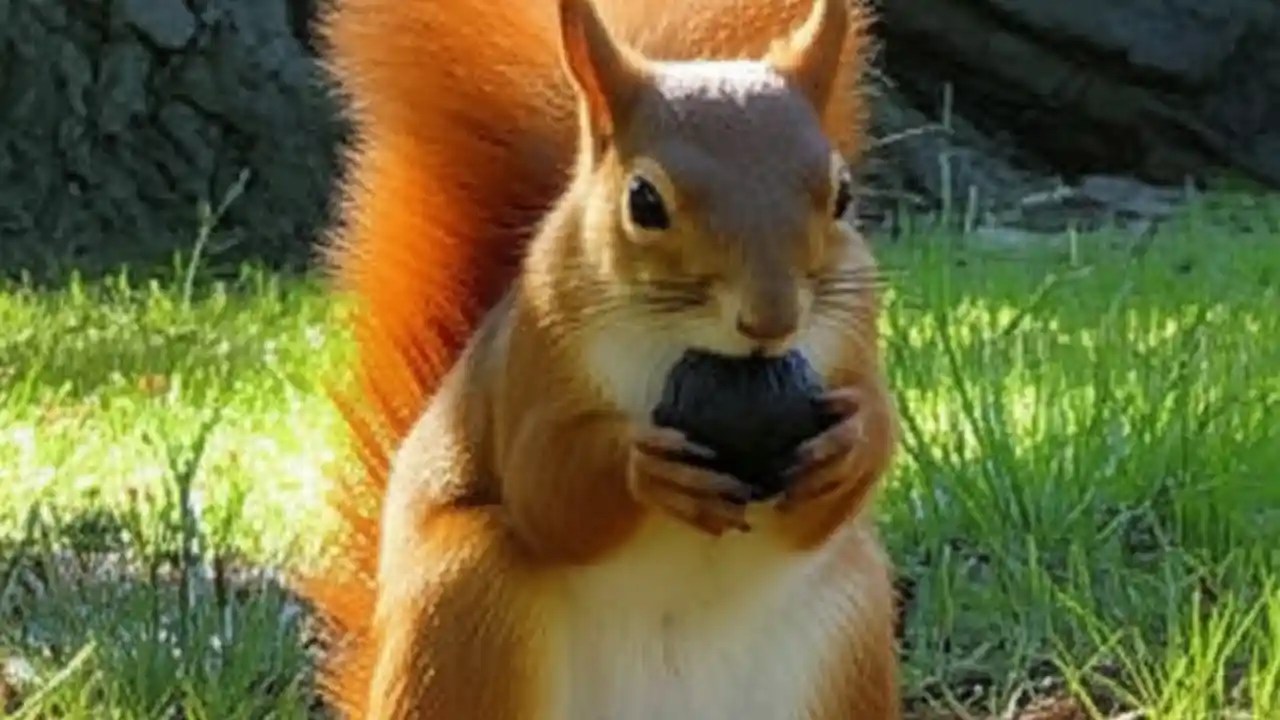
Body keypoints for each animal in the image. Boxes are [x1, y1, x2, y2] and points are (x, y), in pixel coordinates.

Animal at [297, 0, 902, 717]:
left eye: (843, 195)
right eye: (644, 201)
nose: (772, 321)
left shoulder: (852, 336)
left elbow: (858, 454)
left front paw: (851, 441)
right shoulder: (534, 361)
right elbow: (546, 488)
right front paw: (646, 467)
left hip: (855, 627)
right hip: (467, 609)